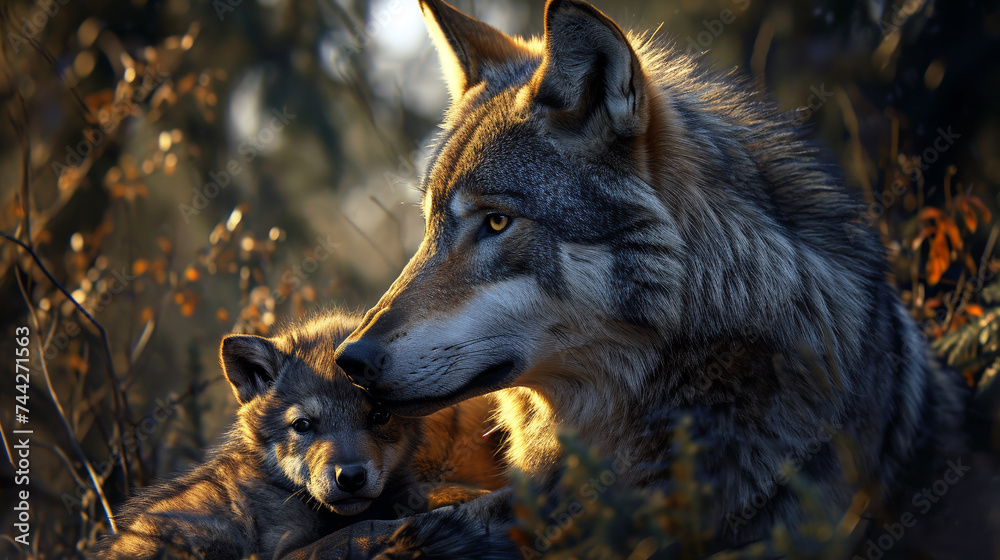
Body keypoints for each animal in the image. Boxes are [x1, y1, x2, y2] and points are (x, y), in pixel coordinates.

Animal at [93, 311, 504, 560]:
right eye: (303, 425)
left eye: (379, 415)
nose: (350, 477)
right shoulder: (284, 551)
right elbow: (363, 529)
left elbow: (419, 496)